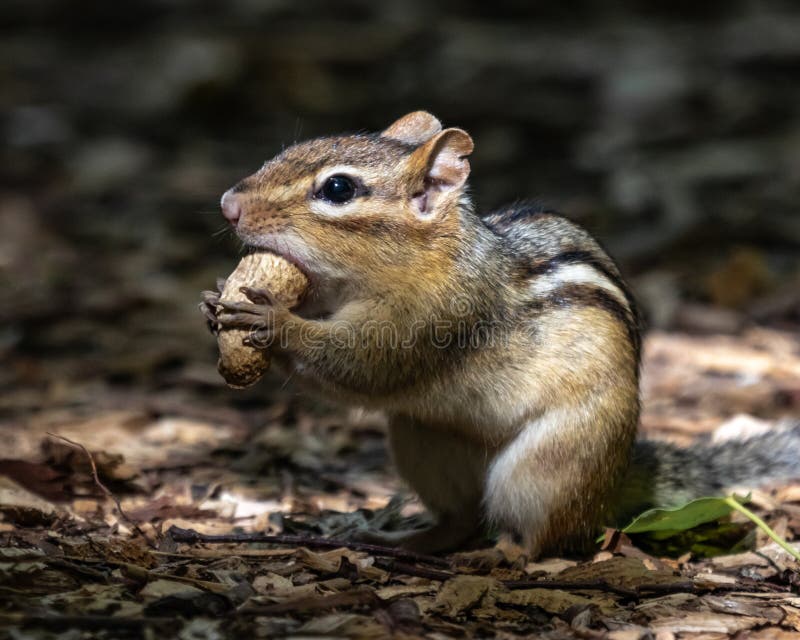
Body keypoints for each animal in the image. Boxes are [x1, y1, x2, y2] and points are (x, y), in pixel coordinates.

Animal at [201, 111, 800, 557]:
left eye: (339, 188)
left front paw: (274, 321)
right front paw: (215, 300)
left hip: (547, 467)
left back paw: (503, 556)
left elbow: (360, 365)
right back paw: (410, 540)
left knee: (542, 535)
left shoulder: (432, 320)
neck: (422, 259)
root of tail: (617, 475)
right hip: (422, 439)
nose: (228, 205)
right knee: (464, 517)